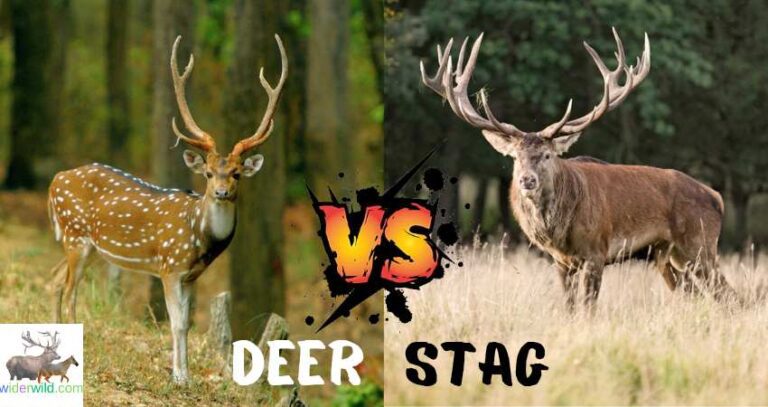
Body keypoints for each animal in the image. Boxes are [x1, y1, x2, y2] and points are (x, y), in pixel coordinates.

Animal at [47, 34, 287, 383]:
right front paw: (179, 376)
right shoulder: (169, 267)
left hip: (86, 246)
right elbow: (176, 322)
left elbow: (185, 322)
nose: (221, 192)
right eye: (208, 173)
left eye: (237, 174)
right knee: (69, 290)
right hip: (75, 235)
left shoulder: (191, 276)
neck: (198, 235)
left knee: (53, 280)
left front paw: (183, 375)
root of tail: (55, 180)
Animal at [421, 28, 737, 308]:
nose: (527, 180)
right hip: (668, 257)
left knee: (730, 296)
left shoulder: (597, 251)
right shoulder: (561, 261)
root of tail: (716, 197)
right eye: (515, 157)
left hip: (699, 244)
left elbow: (588, 308)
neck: (559, 230)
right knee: (697, 296)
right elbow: (571, 308)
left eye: (547, 155)